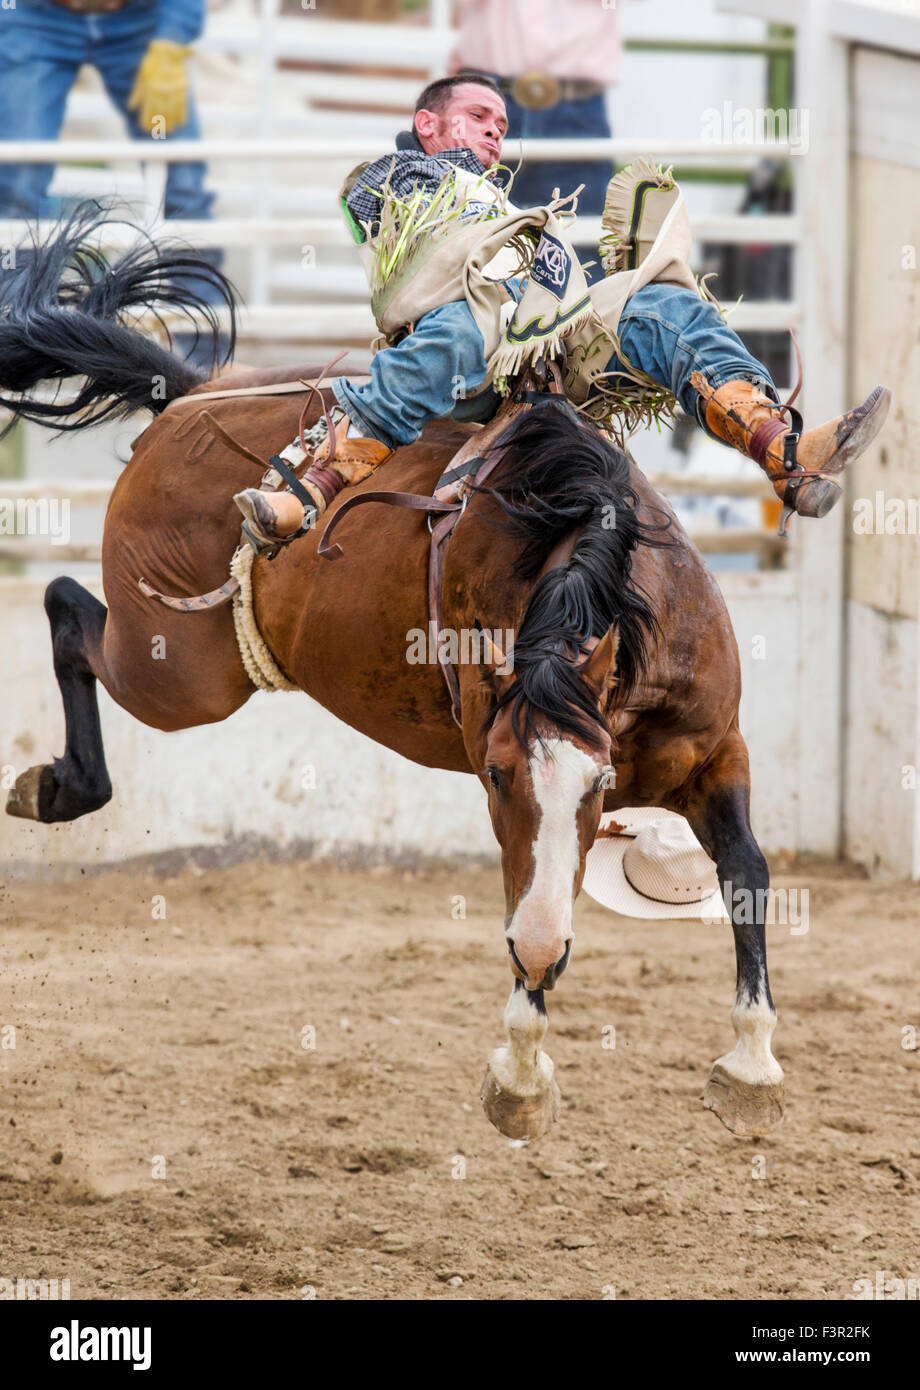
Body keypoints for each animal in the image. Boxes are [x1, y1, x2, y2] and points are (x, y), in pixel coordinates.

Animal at [0, 207, 785, 1141]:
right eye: (495, 774)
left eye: (601, 786)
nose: (545, 951)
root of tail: (185, 396)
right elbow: (527, 905)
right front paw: (520, 1077)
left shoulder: (717, 752)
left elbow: (747, 873)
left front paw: (752, 1062)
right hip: (175, 670)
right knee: (66, 609)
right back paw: (56, 785)